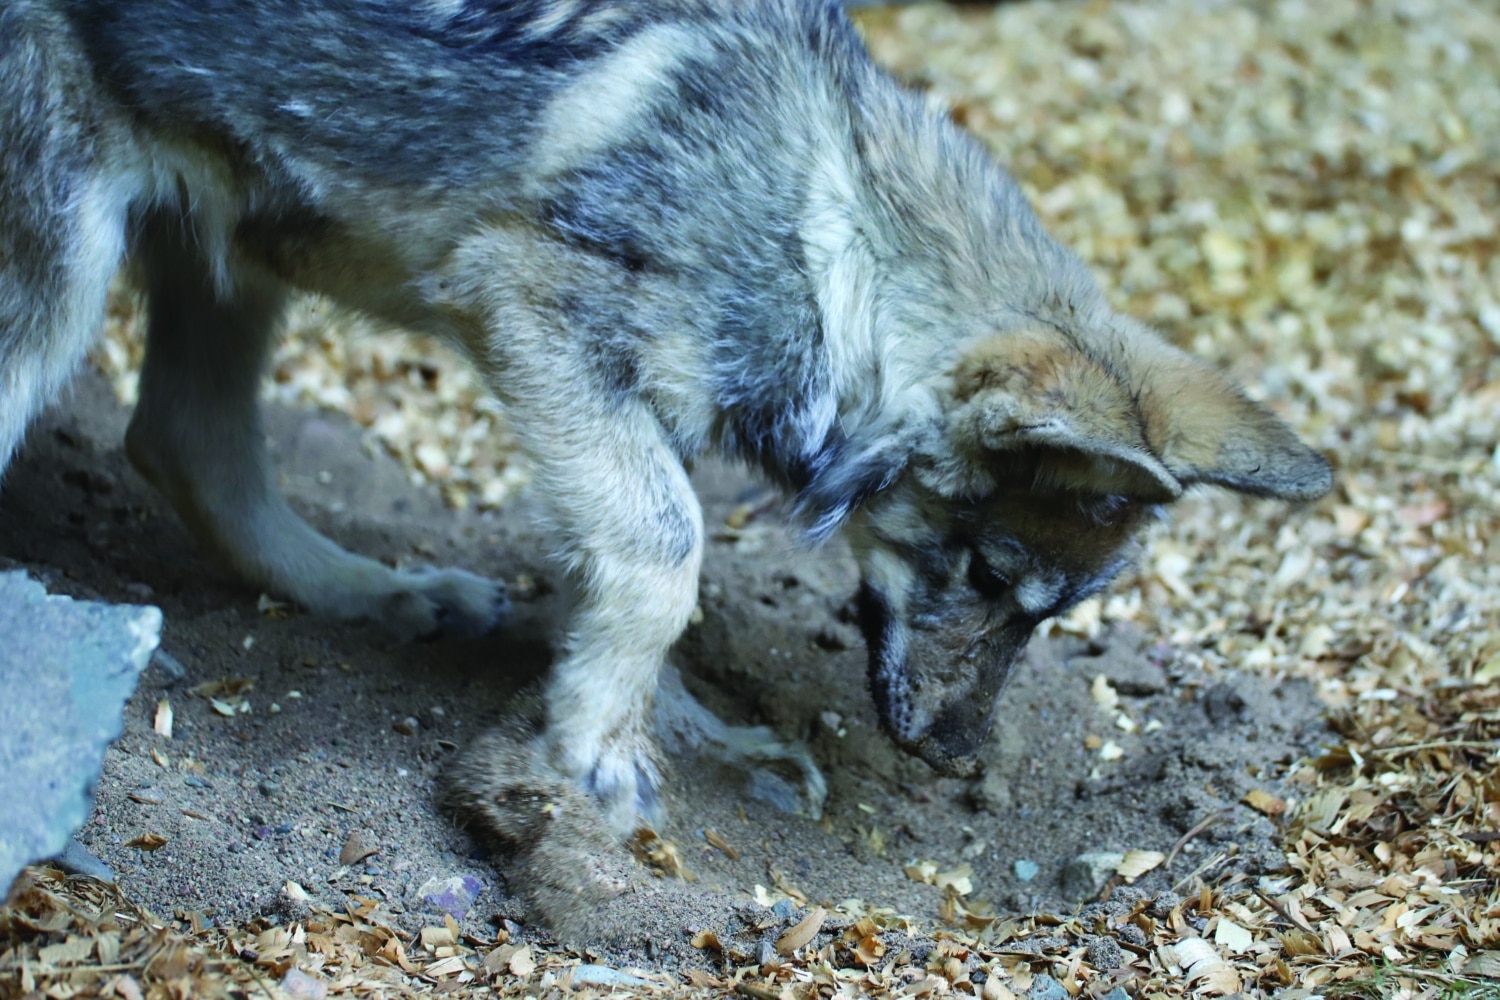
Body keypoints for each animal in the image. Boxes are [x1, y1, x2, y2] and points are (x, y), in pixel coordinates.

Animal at [0, 0, 1329, 849]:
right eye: (986, 574)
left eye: (1046, 619)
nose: (959, 759)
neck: (832, 235)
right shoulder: (530, 308)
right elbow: (664, 557)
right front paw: (596, 752)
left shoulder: (634, 407)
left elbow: (651, 600)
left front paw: (685, 737)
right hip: (56, 286)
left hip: (228, 260)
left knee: (183, 440)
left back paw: (377, 595)